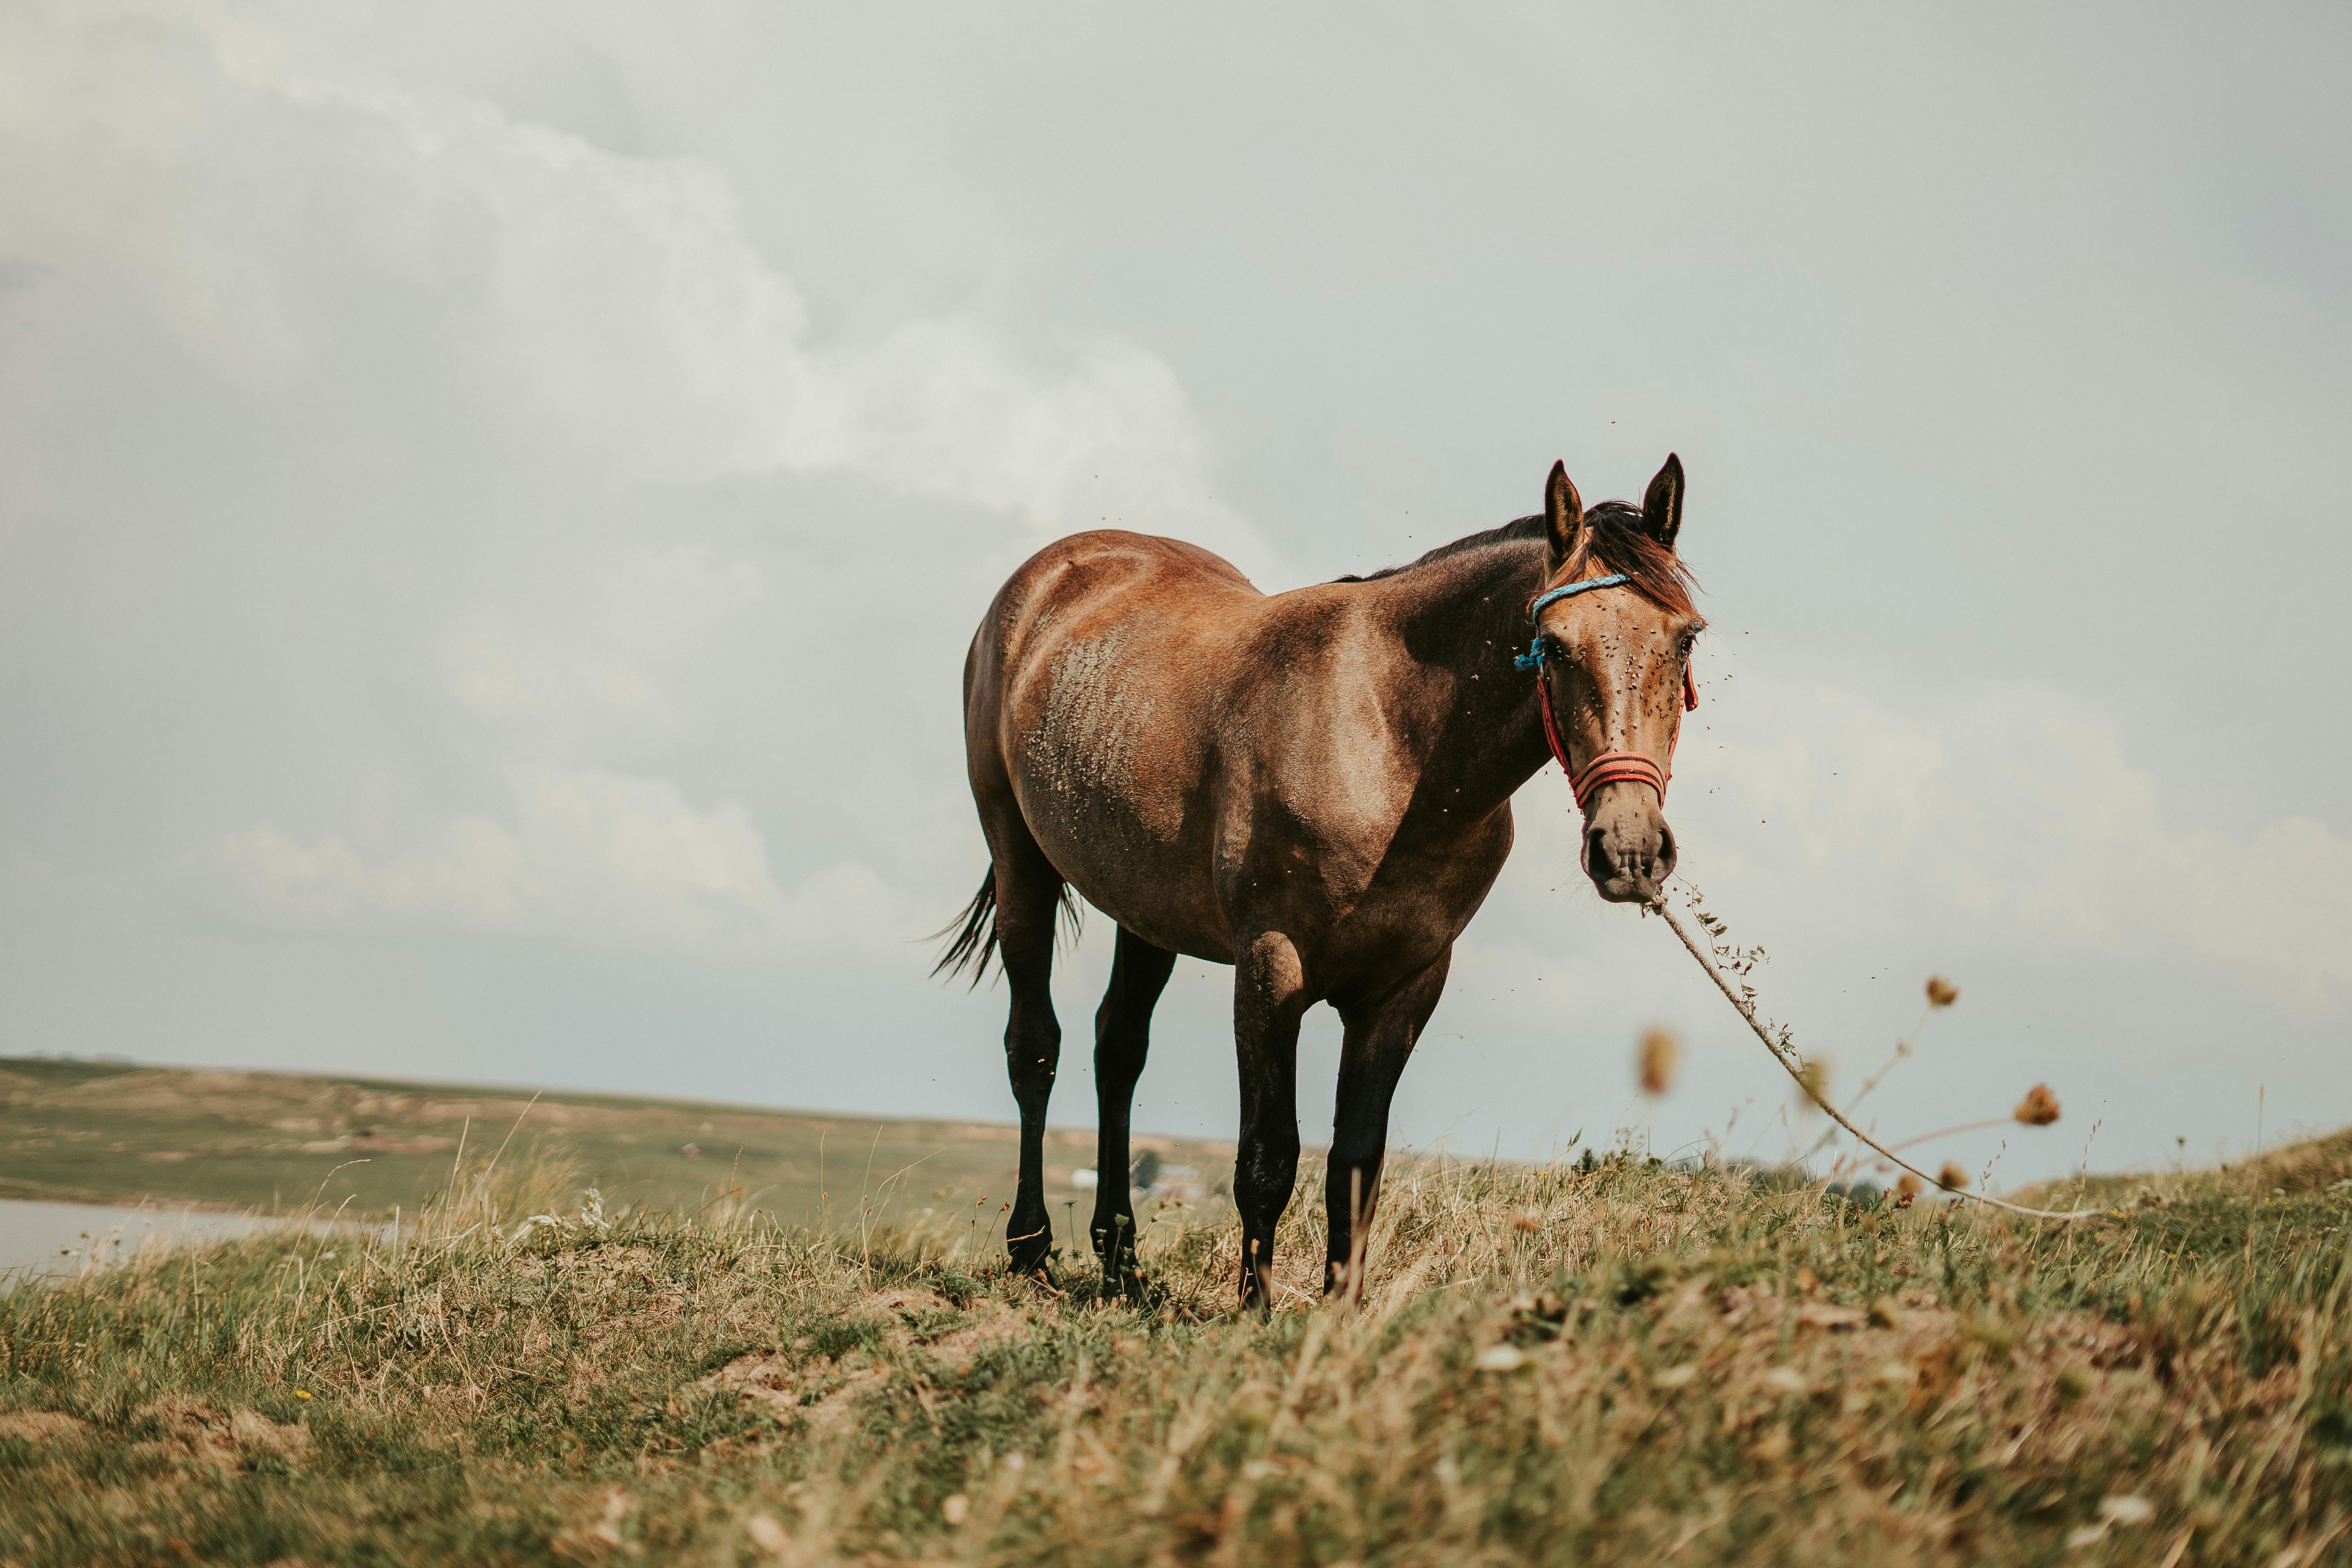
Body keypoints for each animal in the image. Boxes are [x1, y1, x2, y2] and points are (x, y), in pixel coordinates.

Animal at [938, 457, 1701, 1306]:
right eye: (1555, 646)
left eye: (1685, 639)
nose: (1630, 847)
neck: (1389, 738)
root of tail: (1051, 575)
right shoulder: (1273, 968)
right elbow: (1269, 1157)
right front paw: (1256, 1310)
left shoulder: (1404, 989)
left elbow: (1355, 1162)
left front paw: (1340, 1312)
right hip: (1020, 863)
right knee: (1035, 1047)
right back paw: (1032, 1250)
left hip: (1144, 910)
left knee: (1119, 1049)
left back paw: (1121, 1257)